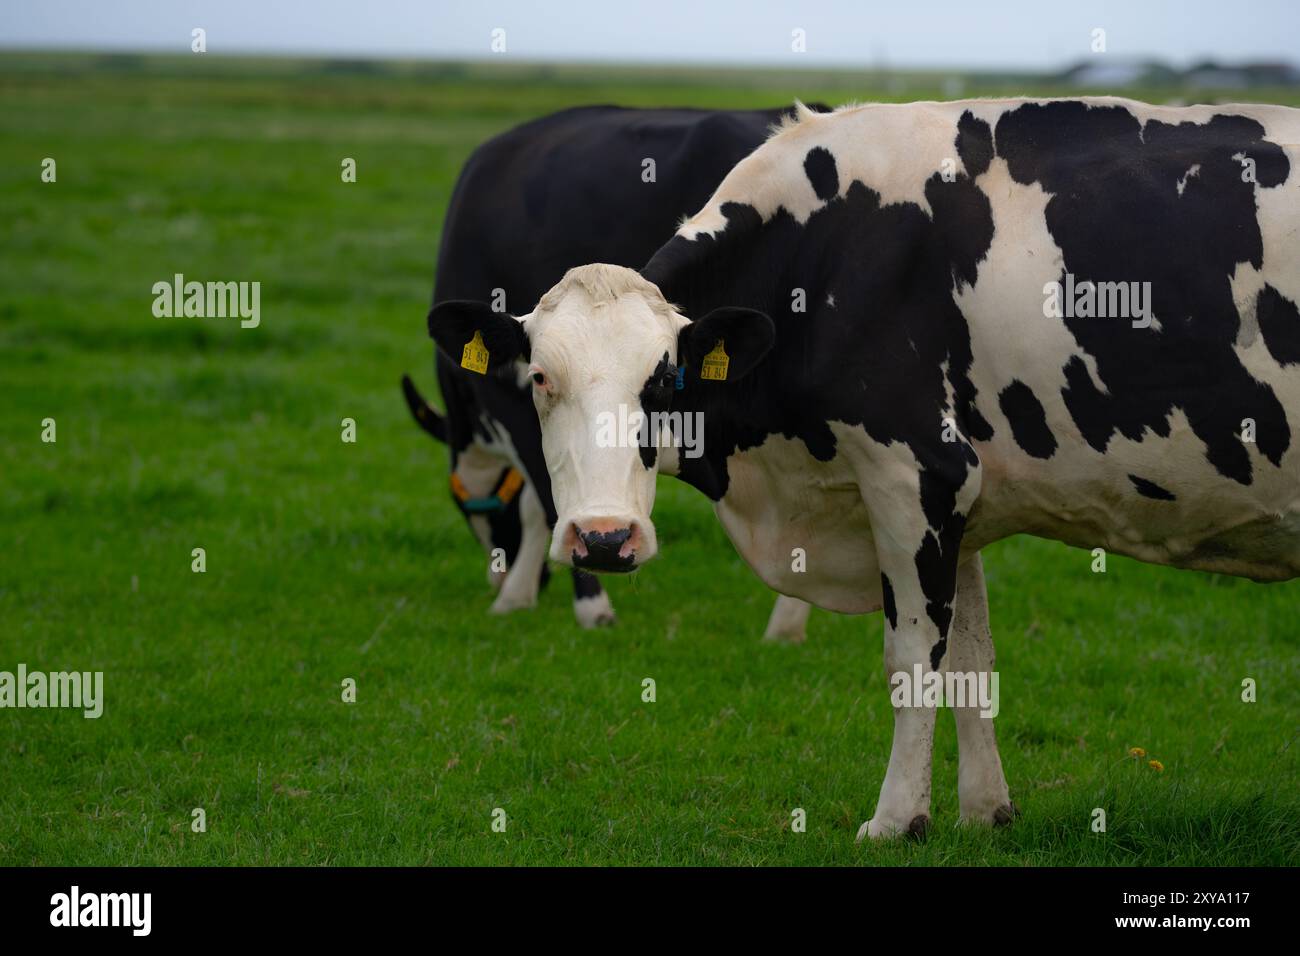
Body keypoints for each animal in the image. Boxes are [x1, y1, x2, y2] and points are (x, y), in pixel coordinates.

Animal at [405, 104, 818, 637]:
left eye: (463, 506)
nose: (501, 575)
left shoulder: (509, 399)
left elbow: (540, 494)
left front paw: (582, 603)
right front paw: (521, 593)